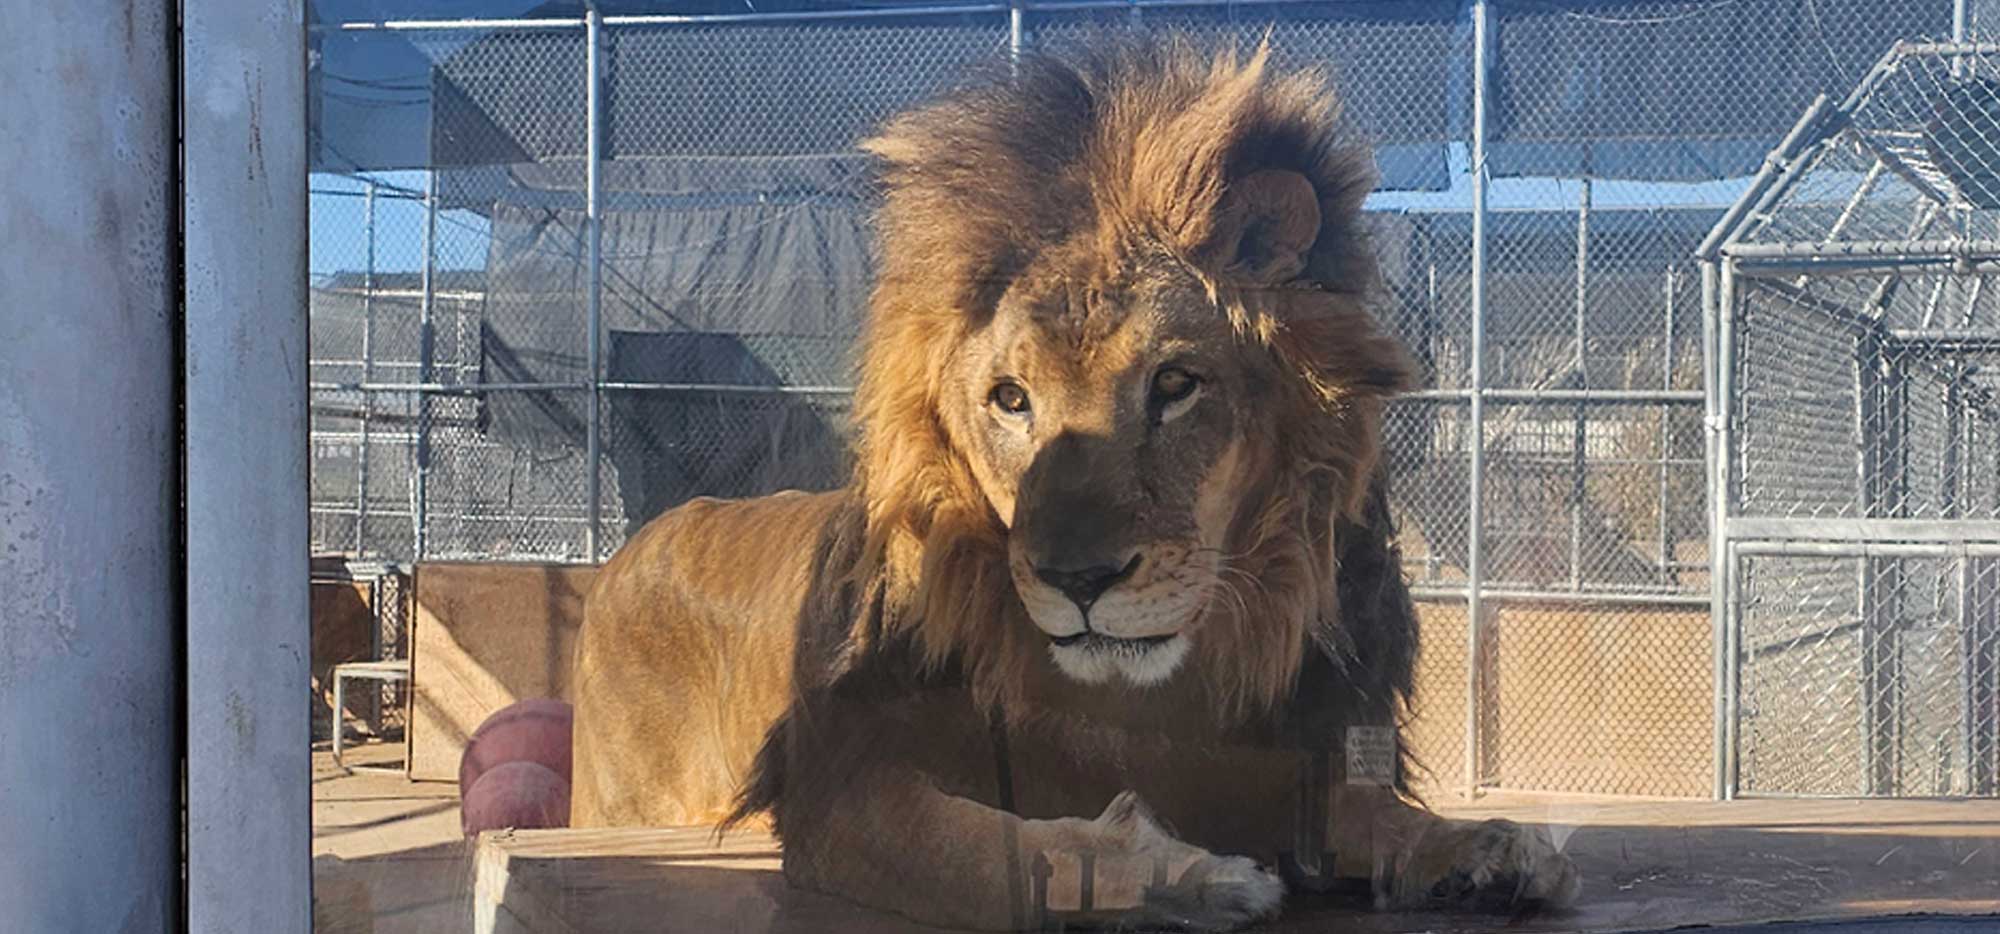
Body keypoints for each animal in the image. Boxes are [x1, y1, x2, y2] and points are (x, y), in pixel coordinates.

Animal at [568, 34, 1580, 931]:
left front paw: (1480, 845)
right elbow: (986, 851)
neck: (1145, 695)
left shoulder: (1275, 765)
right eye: (1011, 398)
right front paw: (1188, 875)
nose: (1078, 580)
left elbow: (1369, 814)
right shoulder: (840, 780)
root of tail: (635, 547)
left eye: (1174, 384)